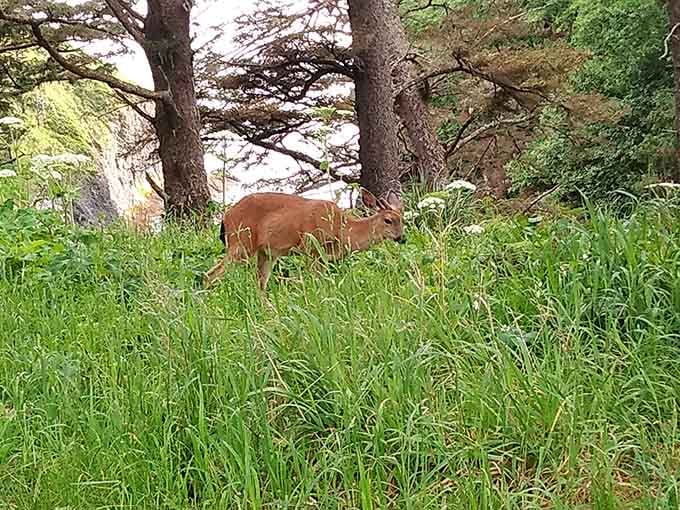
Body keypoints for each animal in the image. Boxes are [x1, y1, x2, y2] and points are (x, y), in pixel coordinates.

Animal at [203, 189, 405, 292]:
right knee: (211, 274)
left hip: (265, 252)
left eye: (403, 219)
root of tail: (226, 216)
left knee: (260, 284)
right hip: (241, 242)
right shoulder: (311, 248)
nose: (402, 238)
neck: (342, 230)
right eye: (388, 220)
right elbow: (316, 282)